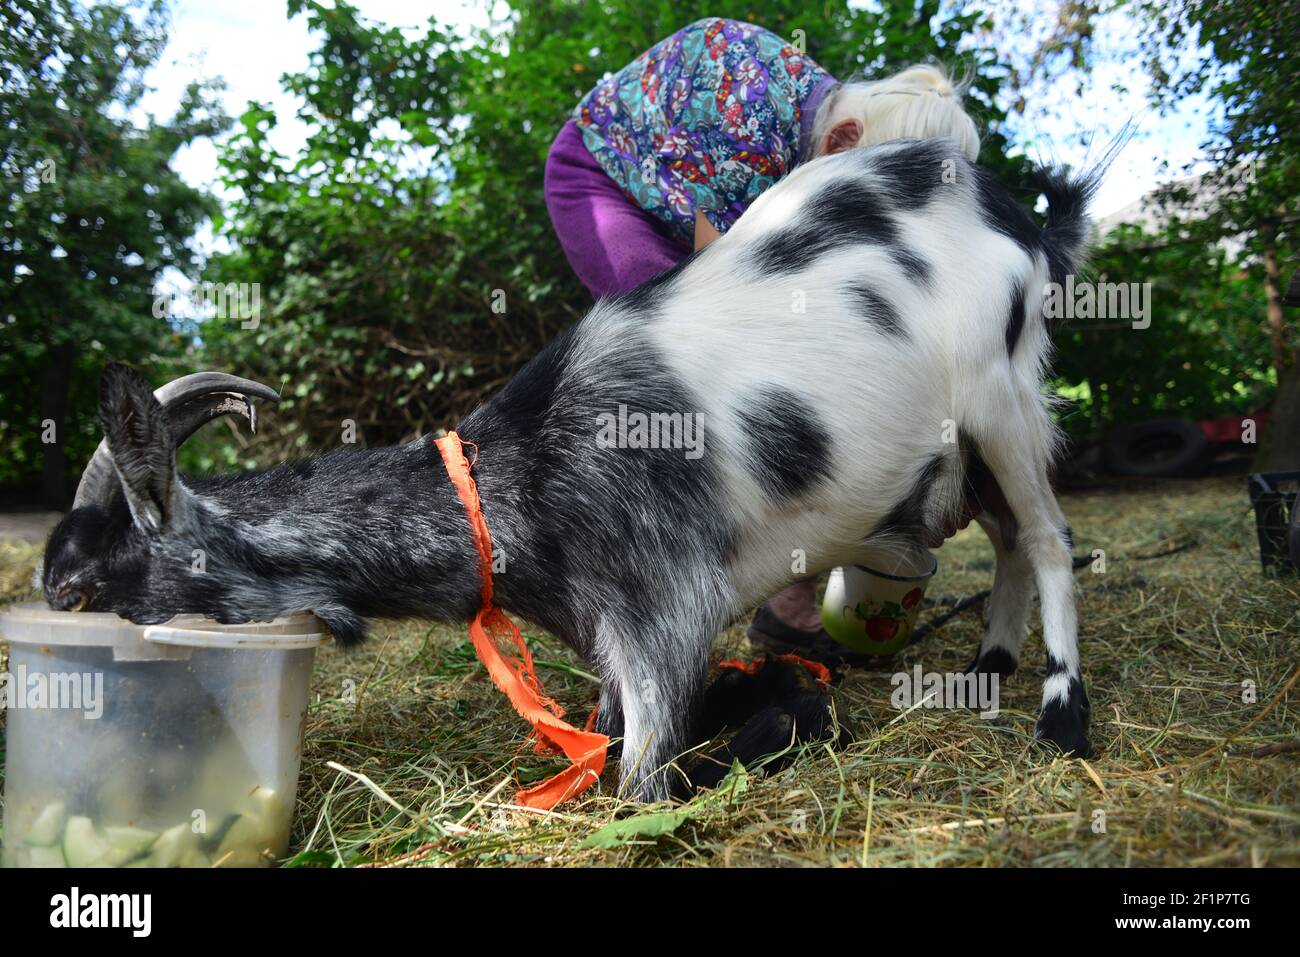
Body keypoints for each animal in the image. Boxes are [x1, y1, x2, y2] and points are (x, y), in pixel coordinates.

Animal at [42, 138, 1099, 801]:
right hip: (962, 448)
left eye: (76, 590)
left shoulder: (665, 612)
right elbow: (611, 726)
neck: (520, 478)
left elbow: (640, 784)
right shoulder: (609, 630)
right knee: (1010, 539)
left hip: (1002, 393)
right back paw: (990, 663)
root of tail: (1013, 213)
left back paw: (1062, 714)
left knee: (1050, 538)